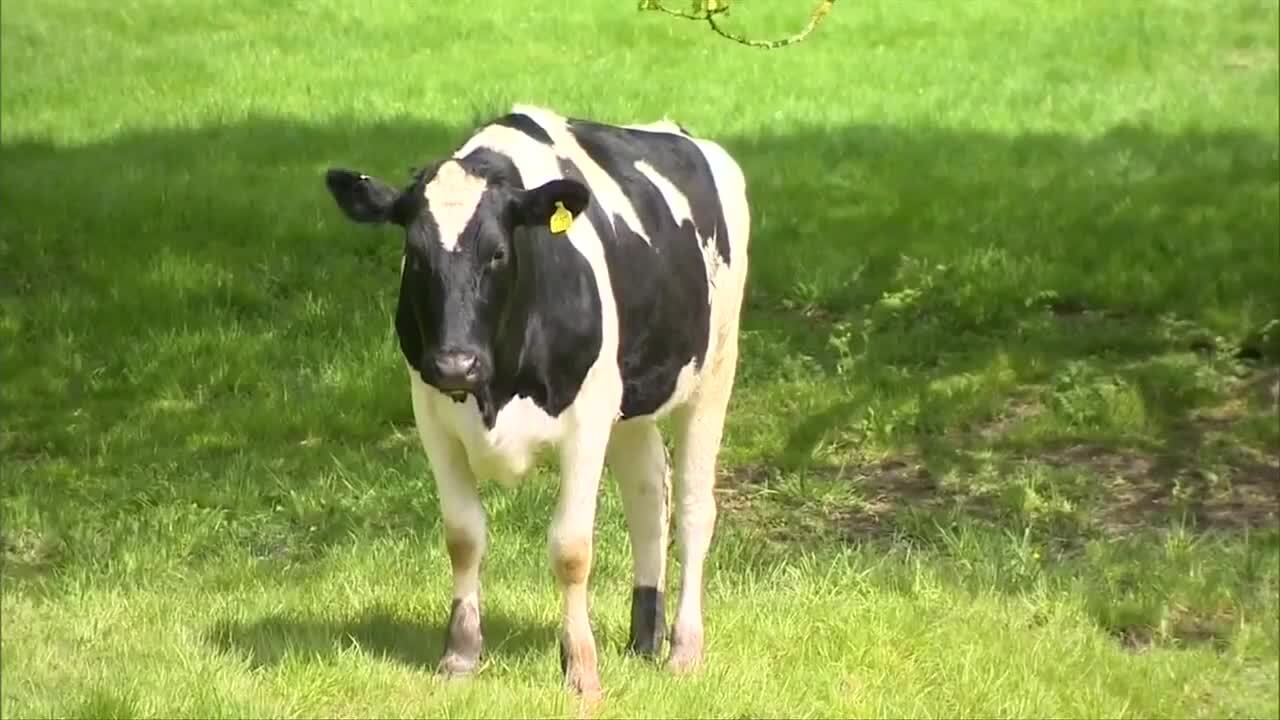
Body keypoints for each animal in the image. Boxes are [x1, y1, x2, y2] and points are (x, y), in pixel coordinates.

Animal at [322, 104, 750, 697]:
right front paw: (460, 656)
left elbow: (571, 549)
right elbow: (463, 535)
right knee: (647, 497)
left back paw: (684, 649)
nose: (455, 363)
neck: (497, 385)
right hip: (631, 403)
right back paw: (643, 641)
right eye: (416, 254)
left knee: (692, 509)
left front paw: (582, 670)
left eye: (499, 253)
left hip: (714, 371)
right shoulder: (431, 415)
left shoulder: (587, 421)